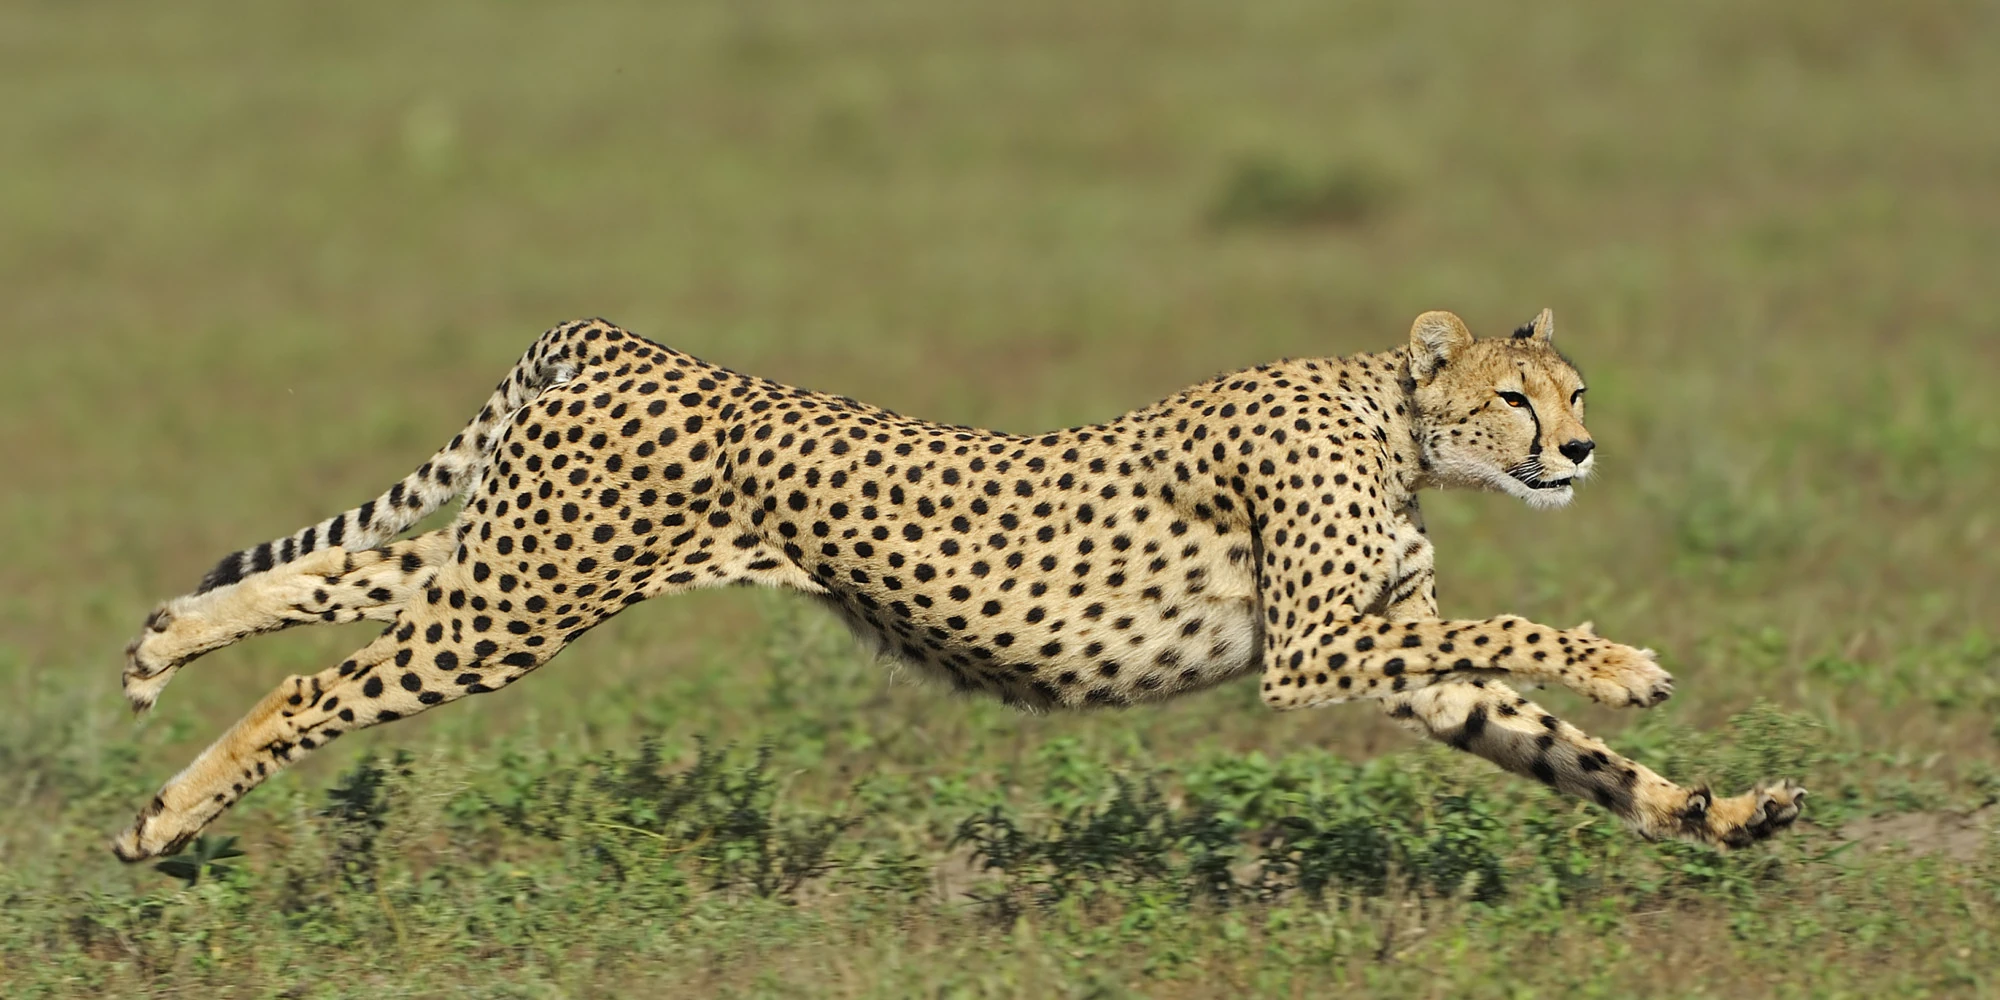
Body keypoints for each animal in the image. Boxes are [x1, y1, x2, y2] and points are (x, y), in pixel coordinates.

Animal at [112, 308, 1806, 861]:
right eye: (1520, 398)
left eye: (1573, 389)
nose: (1580, 447)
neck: (1394, 422)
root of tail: (618, 339)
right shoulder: (1312, 654)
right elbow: (1520, 636)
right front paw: (1623, 661)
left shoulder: (1395, 663)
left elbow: (1558, 749)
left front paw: (1723, 813)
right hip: (521, 600)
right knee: (318, 682)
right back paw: (164, 824)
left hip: (513, 560)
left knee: (334, 578)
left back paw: (156, 652)